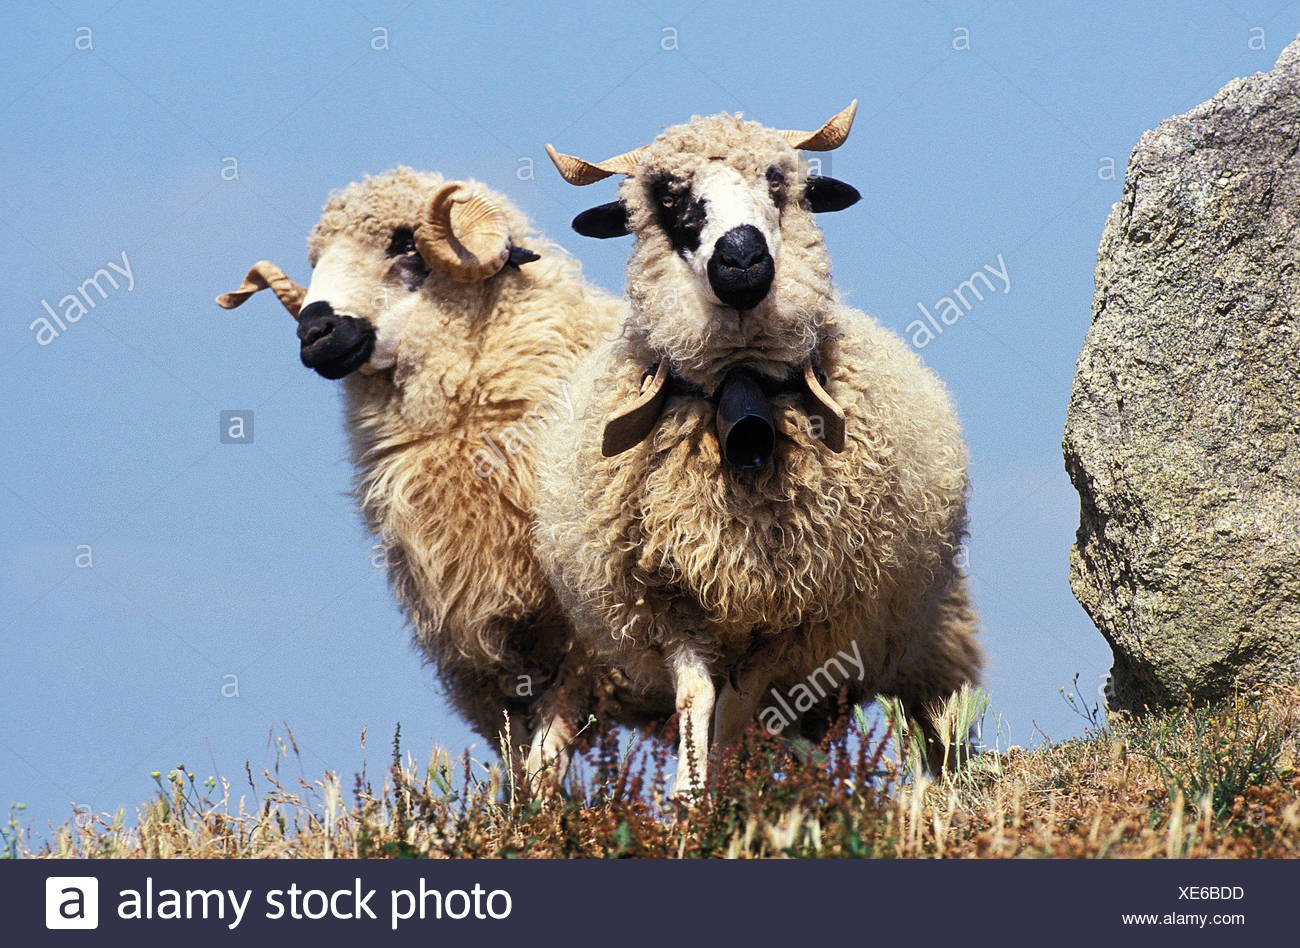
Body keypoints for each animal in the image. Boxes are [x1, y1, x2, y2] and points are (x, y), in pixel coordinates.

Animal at [216, 167, 630, 769]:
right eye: (317, 258)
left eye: (405, 244)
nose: (314, 334)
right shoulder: (481, 662)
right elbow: (518, 770)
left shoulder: (584, 647)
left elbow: (544, 764)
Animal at [535, 104, 982, 795]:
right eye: (670, 195)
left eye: (777, 179)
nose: (742, 258)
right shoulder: (676, 609)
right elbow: (697, 701)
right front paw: (690, 798)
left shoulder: (796, 621)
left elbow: (738, 713)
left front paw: (723, 792)